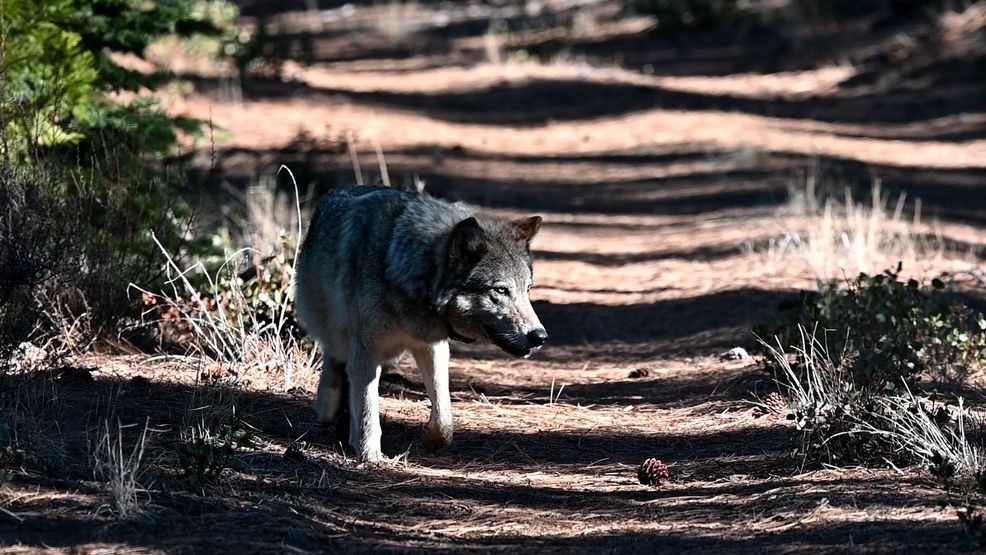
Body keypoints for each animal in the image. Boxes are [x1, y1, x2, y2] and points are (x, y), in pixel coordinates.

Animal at [294, 186, 547, 462]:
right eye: (500, 290)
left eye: (527, 290)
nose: (540, 336)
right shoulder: (366, 350)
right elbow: (367, 408)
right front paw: (371, 455)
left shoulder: (433, 346)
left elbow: (444, 417)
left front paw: (430, 438)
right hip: (337, 331)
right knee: (335, 359)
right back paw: (328, 409)